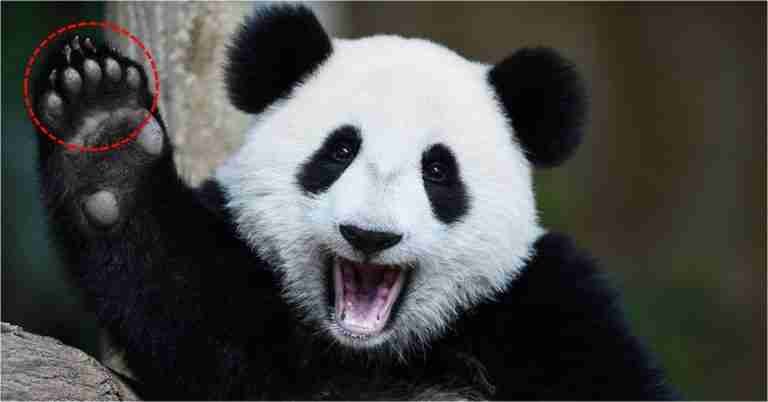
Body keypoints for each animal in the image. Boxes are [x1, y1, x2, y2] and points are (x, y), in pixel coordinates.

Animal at [32, 4, 676, 400]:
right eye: (340, 150)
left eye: (437, 170)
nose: (370, 236)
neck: (373, 354)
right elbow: (190, 312)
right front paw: (105, 131)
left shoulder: (547, 310)